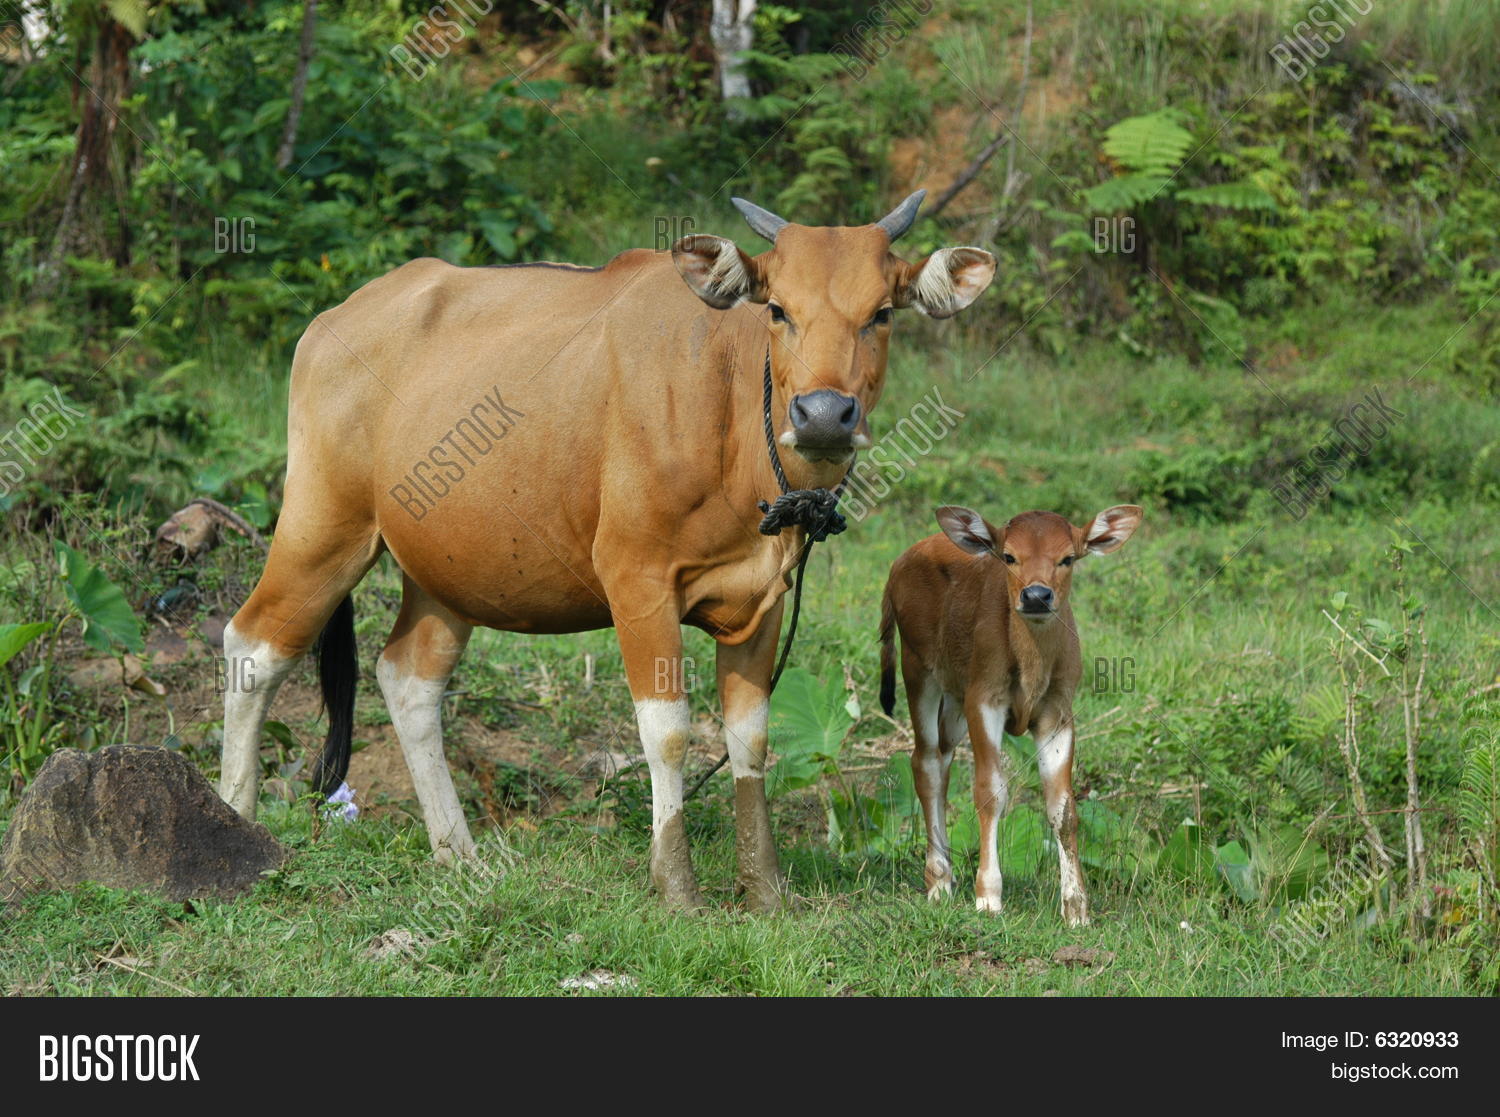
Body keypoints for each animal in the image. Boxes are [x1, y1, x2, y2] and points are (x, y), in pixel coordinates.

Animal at [219, 192, 996, 911]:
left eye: (881, 314)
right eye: (778, 310)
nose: (824, 415)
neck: (731, 416)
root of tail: (333, 320)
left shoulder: (763, 595)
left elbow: (750, 738)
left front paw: (765, 890)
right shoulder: (636, 579)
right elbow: (670, 733)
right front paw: (677, 887)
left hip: (445, 571)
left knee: (408, 677)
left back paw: (458, 853)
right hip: (325, 523)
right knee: (254, 647)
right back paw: (236, 820)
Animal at [878, 503, 1143, 925]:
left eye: (1067, 558)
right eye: (1008, 556)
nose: (1036, 595)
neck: (1032, 666)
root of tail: (901, 562)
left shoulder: (1058, 713)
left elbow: (1063, 808)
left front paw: (1077, 907)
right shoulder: (984, 701)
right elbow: (990, 793)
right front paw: (988, 895)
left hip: (954, 698)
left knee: (944, 760)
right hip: (918, 670)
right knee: (925, 763)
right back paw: (938, 880)